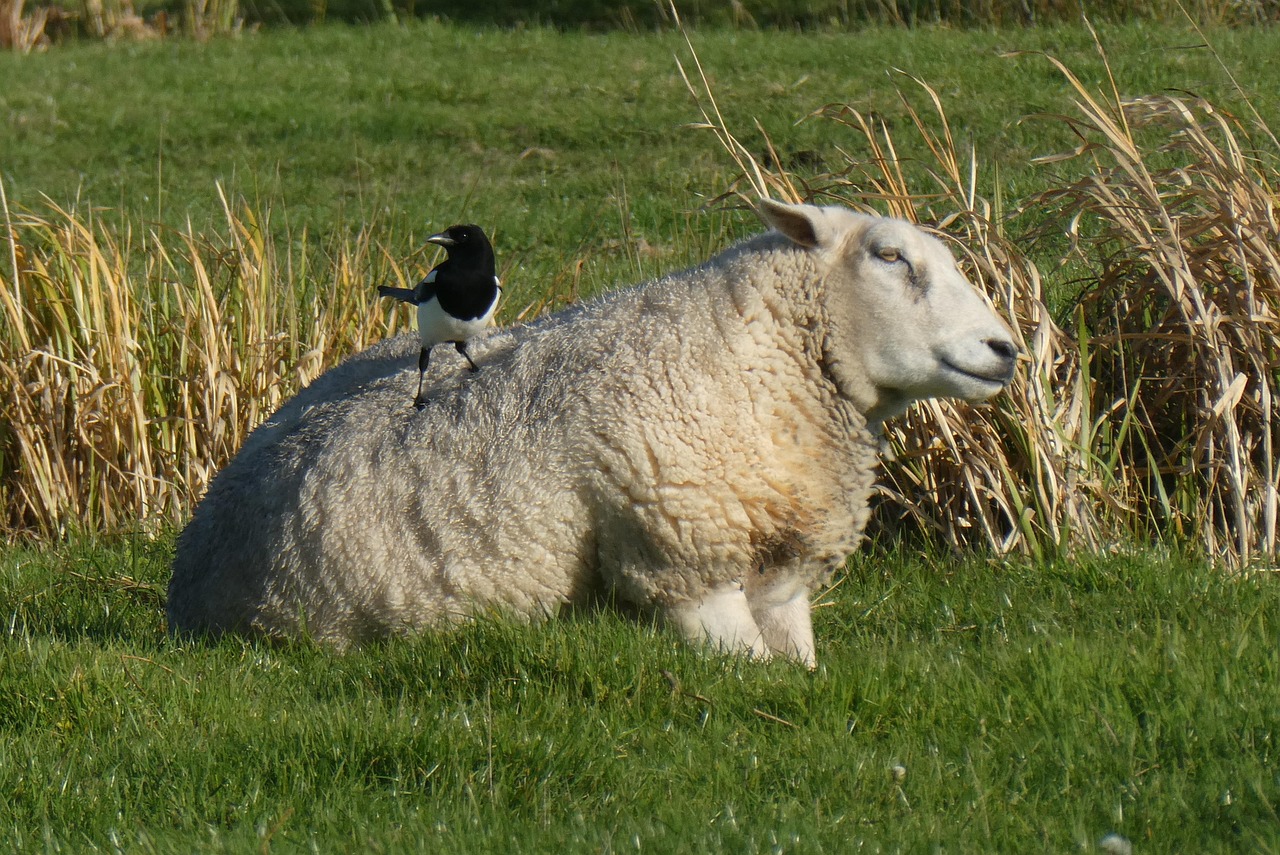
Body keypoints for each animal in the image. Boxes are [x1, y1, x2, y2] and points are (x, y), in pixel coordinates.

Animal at [167, 199, 1018, 666]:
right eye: (890, 257)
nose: (1005, 348)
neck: (759, 354)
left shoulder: (781, 565)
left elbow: (797, 668)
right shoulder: (681, 560)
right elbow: (748, 667)